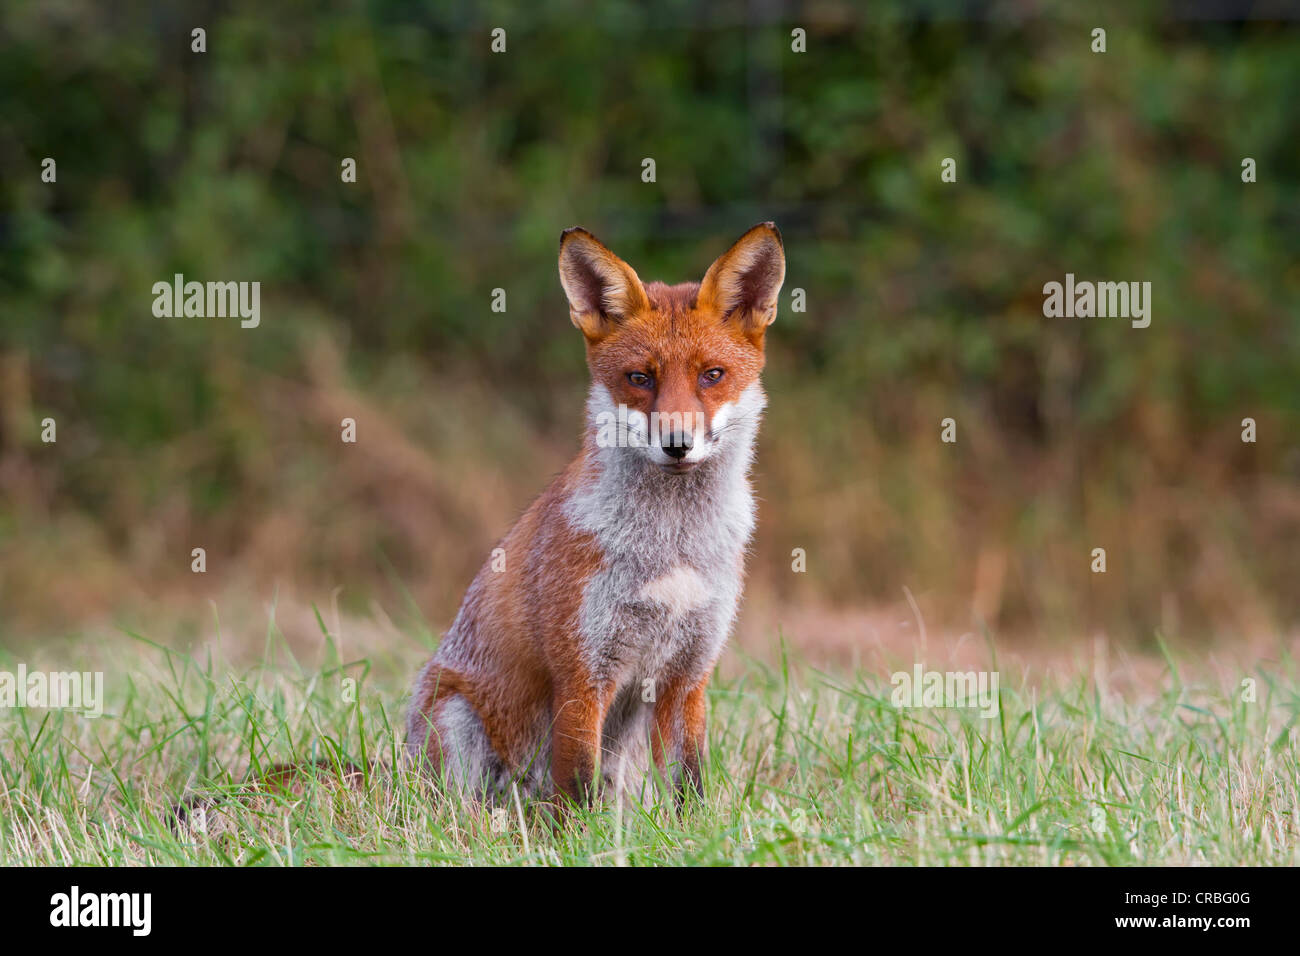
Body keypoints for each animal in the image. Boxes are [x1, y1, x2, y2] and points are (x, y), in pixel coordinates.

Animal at [405, 221, 786, 809]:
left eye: (711, 375)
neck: (670, 546)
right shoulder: (584, 673)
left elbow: (690, 788)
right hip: (456, 722)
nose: (677, 444)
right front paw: (581, 831)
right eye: (640, 378)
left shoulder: (688, 676)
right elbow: (577, 788)